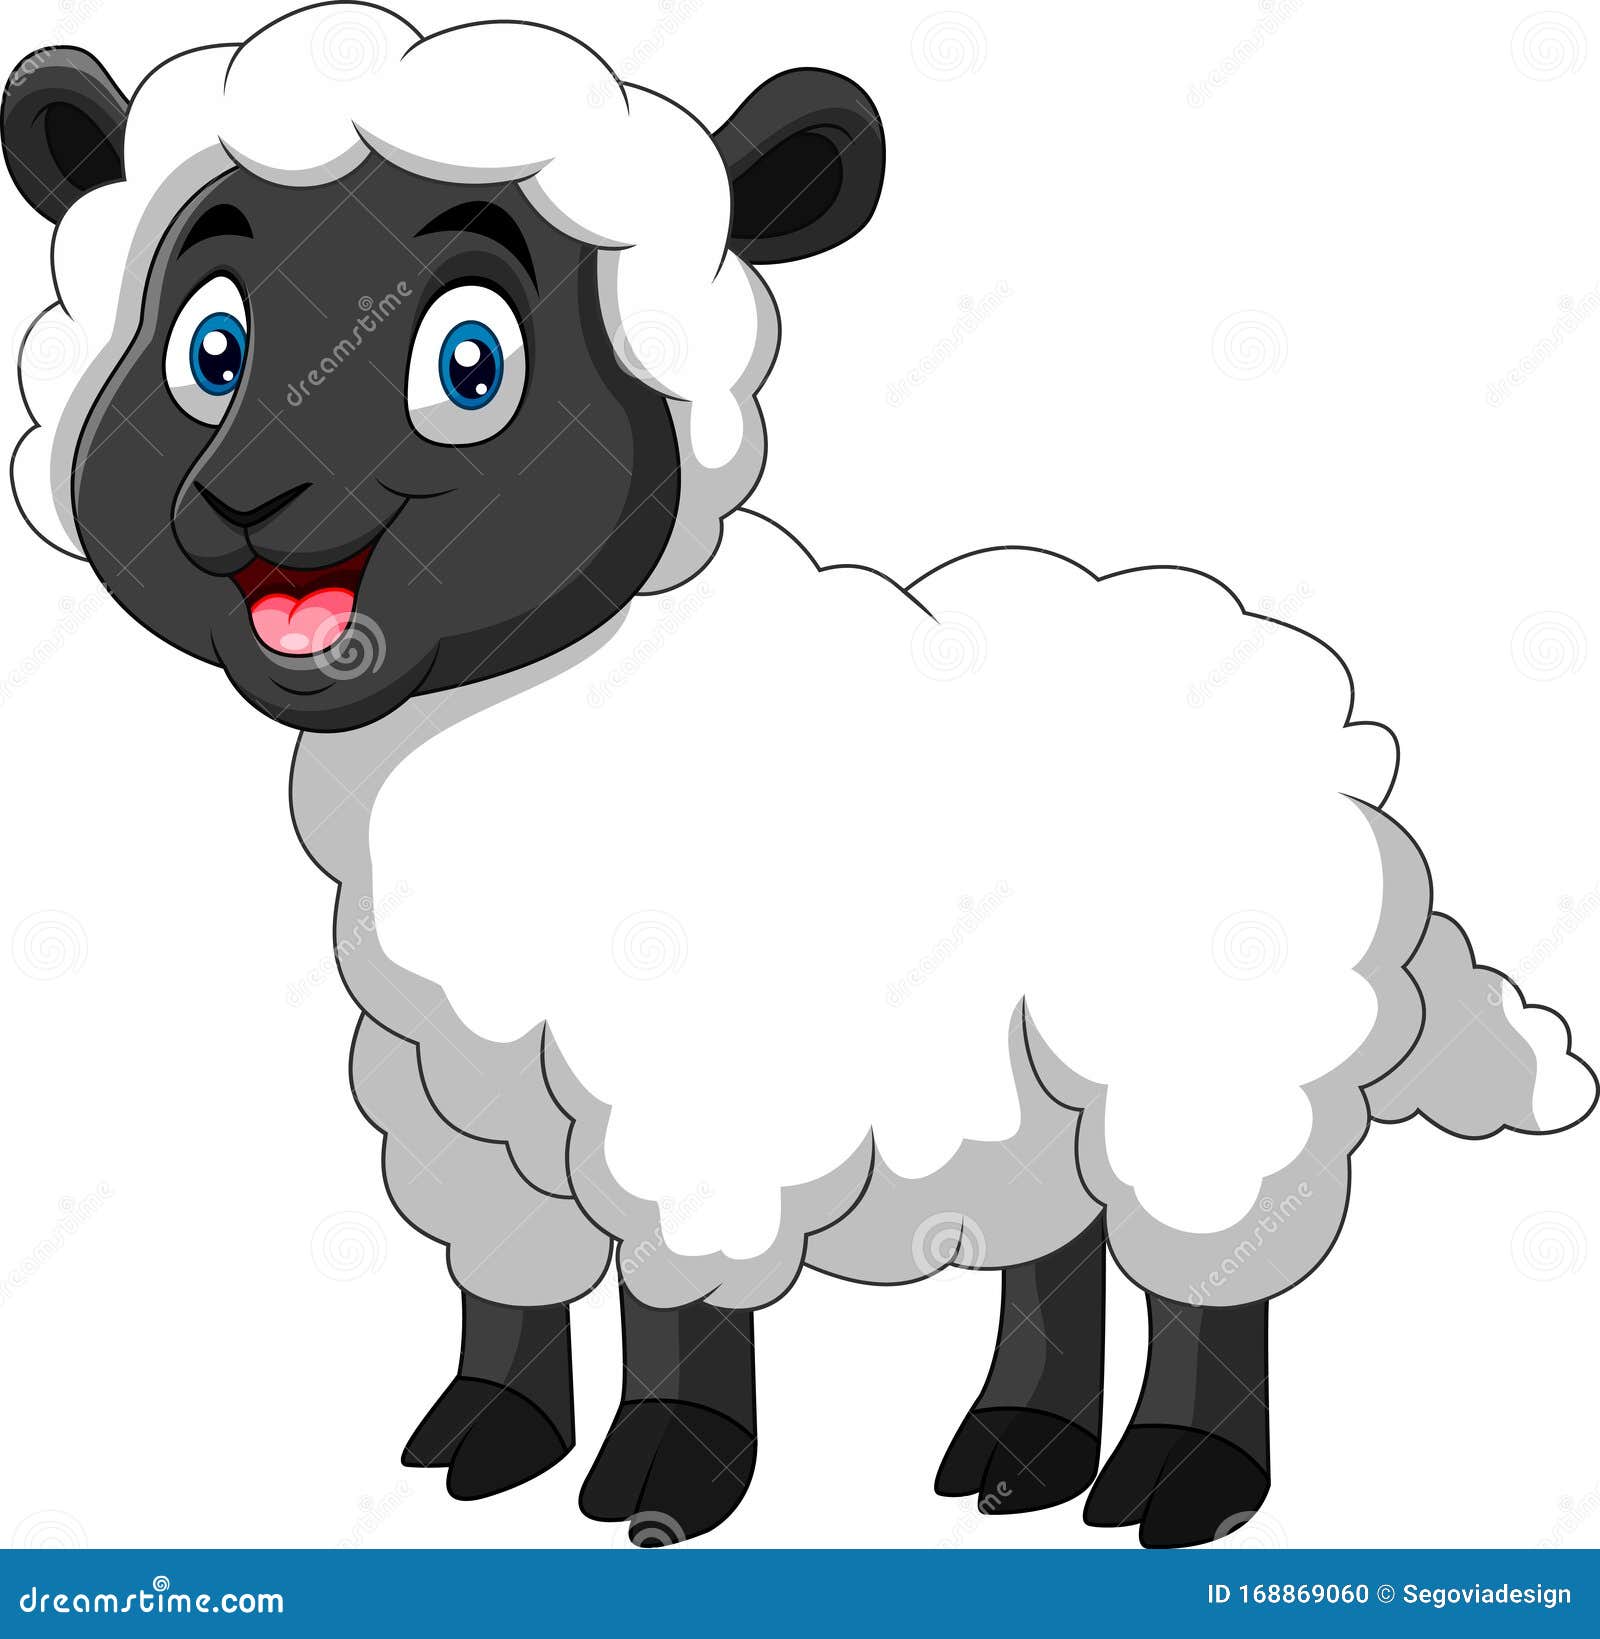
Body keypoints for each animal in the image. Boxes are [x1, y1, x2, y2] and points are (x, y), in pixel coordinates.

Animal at [4, 3, 1593, 1549]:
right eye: (211, 347)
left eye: (471, 364)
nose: (244, 494)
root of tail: (1318, 720)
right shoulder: (455, 1092)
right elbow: (507, 1275)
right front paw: (487, 1439)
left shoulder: (696, 1072)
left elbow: (680, 1287)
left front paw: (665, 1475)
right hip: (1038, 1079)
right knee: (1059, 1243)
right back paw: (1016, 1452)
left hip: (1205, 1041)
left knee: (1209, 1257)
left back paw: (1180, 1480)